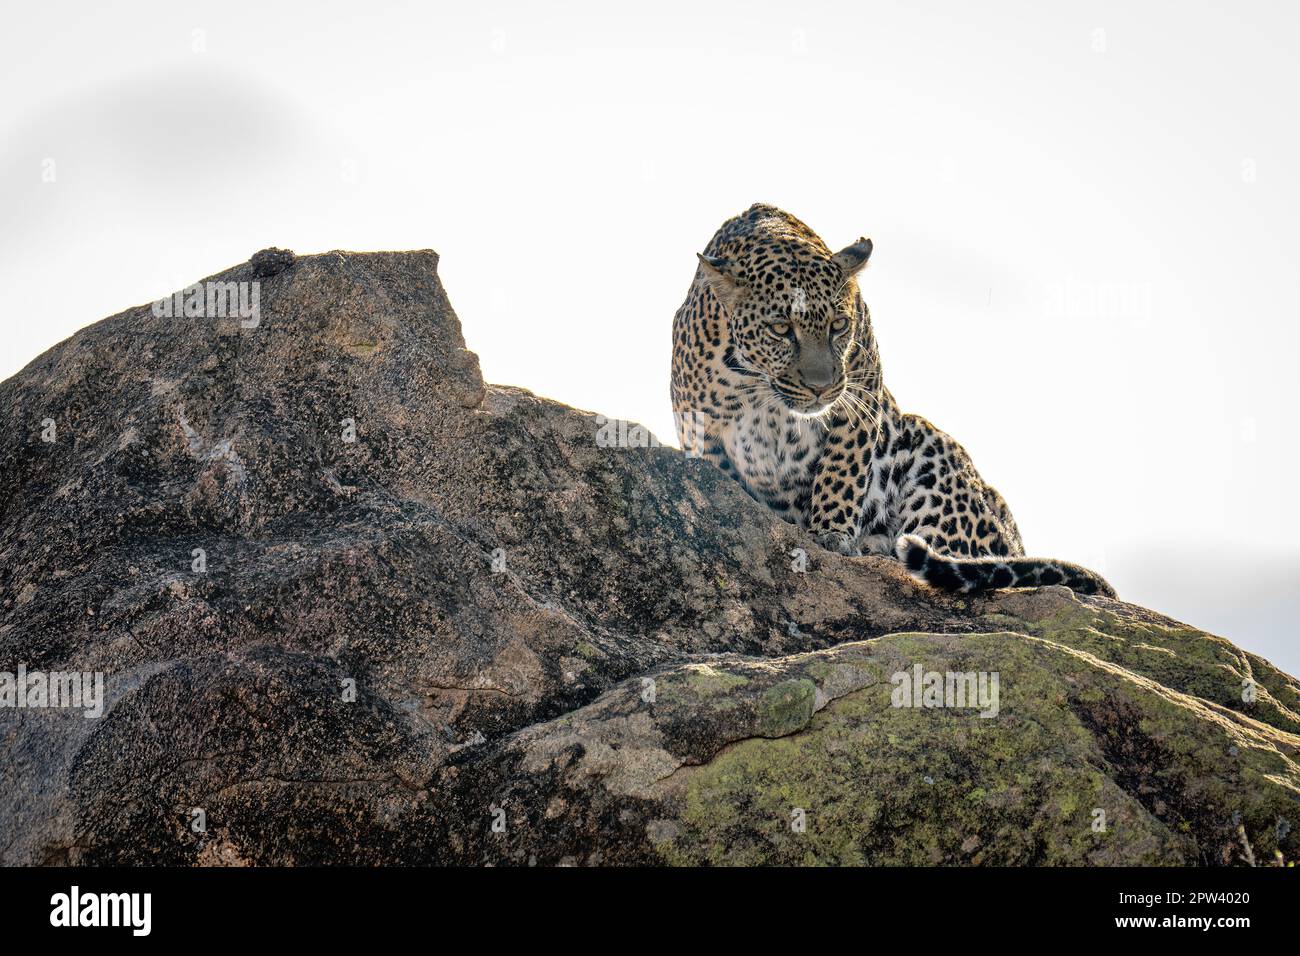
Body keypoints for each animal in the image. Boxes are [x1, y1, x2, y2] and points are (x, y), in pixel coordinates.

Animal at [671, 203, 1114, 597]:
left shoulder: (862, 392)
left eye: (839, 325)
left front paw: (831, 535)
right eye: (780, 328)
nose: (822, 387)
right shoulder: (699, 427)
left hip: (929, 456)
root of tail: (1017, 543)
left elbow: (841, 469)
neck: (758, 388)